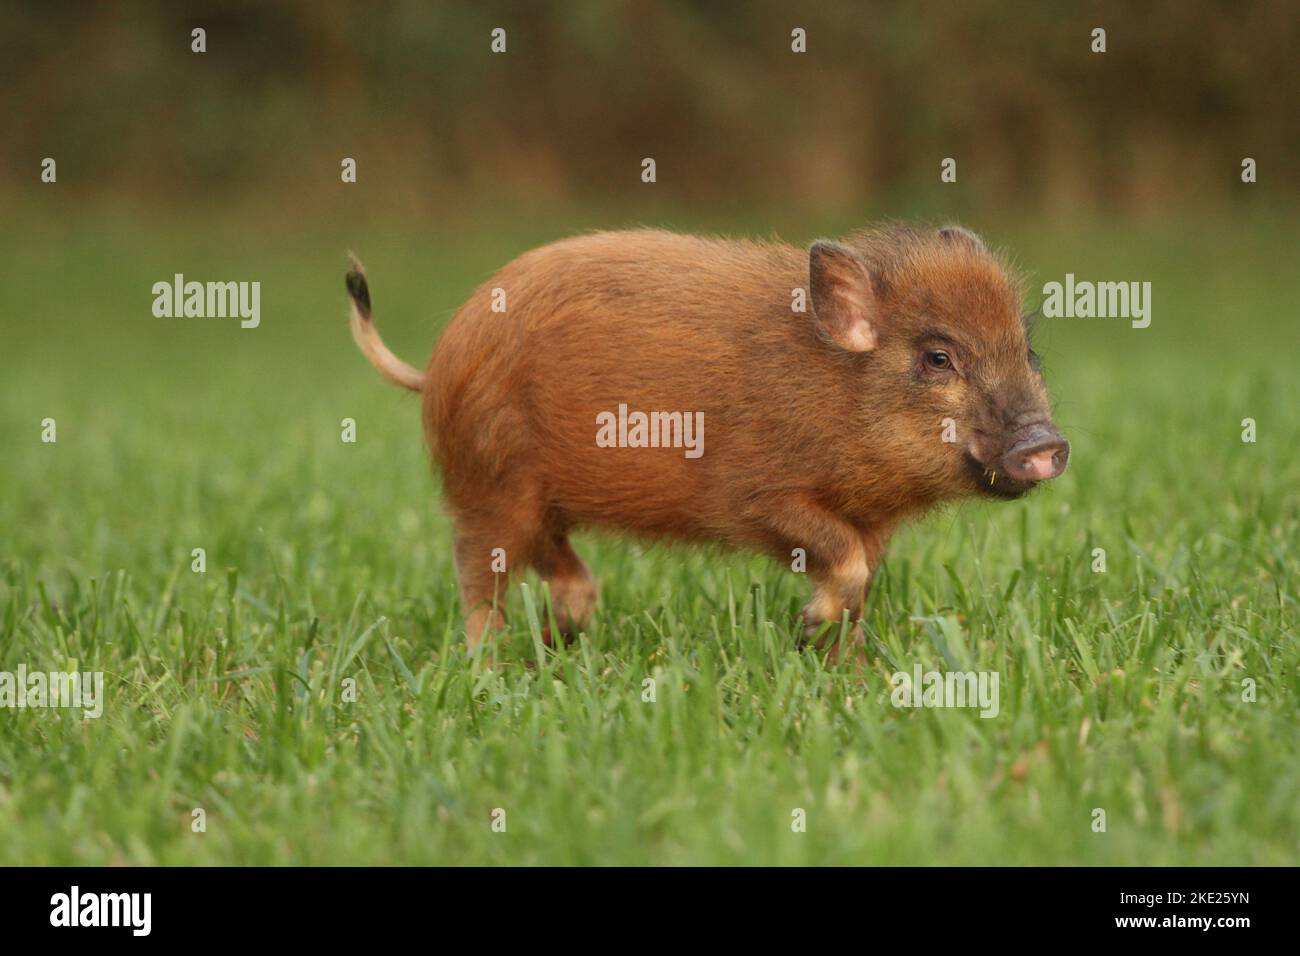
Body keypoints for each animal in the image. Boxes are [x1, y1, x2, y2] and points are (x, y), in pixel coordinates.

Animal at [345, 223, 1068, 660]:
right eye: (938, 358)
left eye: (1028, 348)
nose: (1047, 444)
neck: (835, 393)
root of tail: (435, 364)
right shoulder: (754, 500)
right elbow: (844, 563)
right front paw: (810, 630)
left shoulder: (873, 524)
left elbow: (862, 585)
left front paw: (845, 665)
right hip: (490, 485)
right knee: (477, 572)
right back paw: (489, 662)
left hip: (538, 504)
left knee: (566, 577)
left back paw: (559, 644)